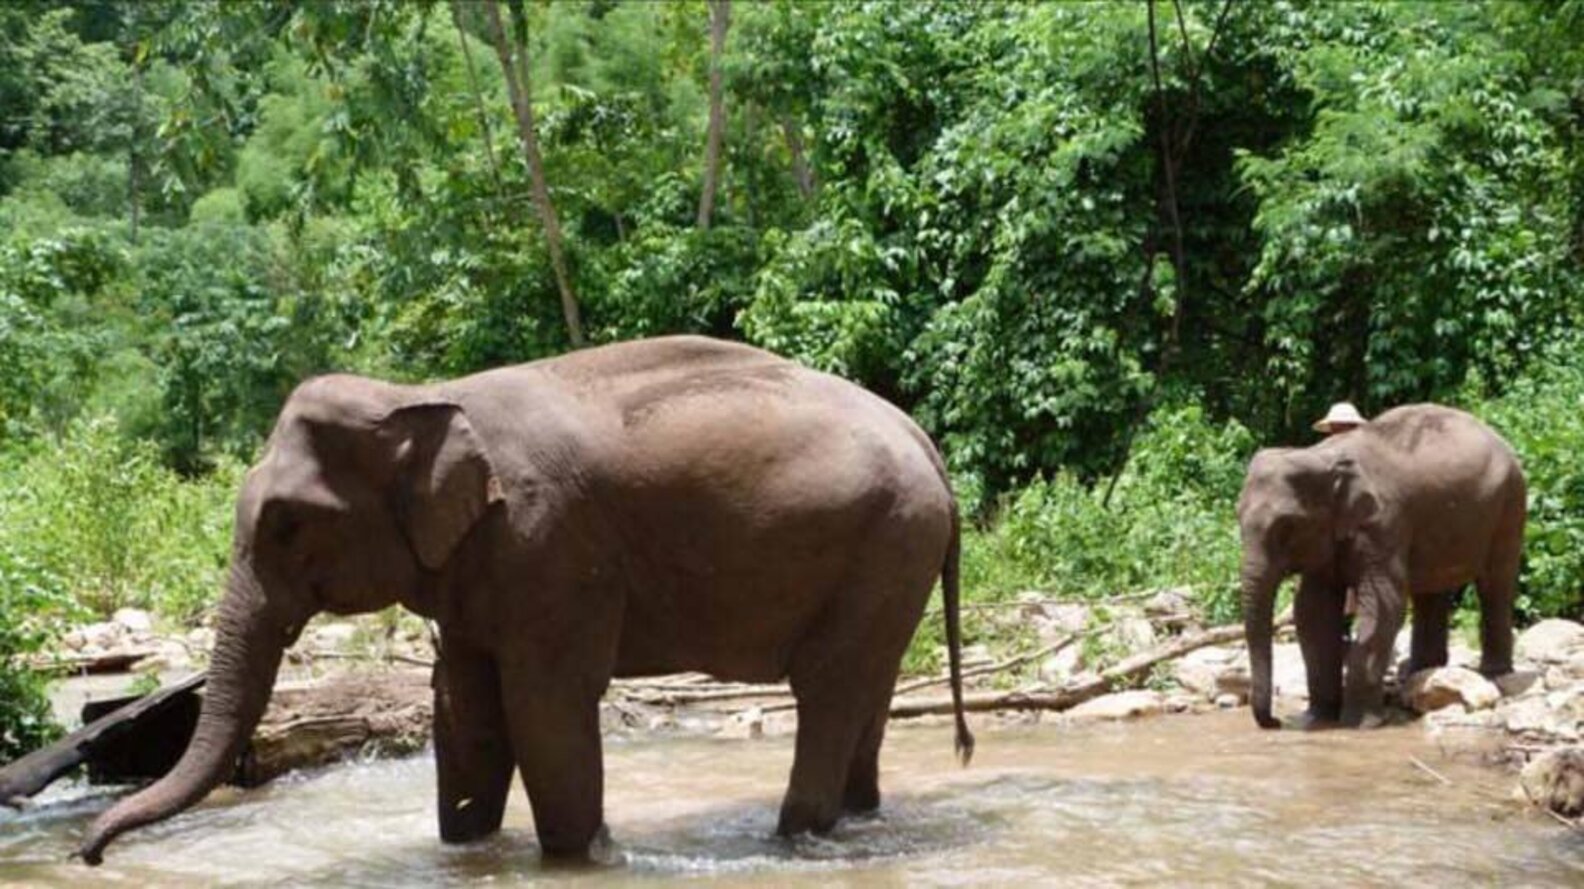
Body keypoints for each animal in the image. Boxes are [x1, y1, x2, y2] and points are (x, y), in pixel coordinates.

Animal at [78, 335, 974, 865]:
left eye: (287, 524)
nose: (89, 855)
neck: (423, 393)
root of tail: (929, 445)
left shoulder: (548, 544)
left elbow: (545, 703)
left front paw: (583, 858)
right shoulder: (478, 563)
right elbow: (462, 704)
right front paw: (468, 848)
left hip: (887, 539)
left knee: (828, 687)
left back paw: (792, 838)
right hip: (892, 557)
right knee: (868, 688)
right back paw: (853, 821)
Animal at [1236, 403, 1525, 730]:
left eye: (1286, 526)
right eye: (1237, 517)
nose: (1274, 722)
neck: (1324, 458)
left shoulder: (1384, 524)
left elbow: (1384, 605)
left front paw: (1358, 725)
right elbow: (1312, 611)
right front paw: (1318, 718)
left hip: (1510, 503)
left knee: (1495, 583)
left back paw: (1493, 673)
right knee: (1431, 592)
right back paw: (1419, 672)